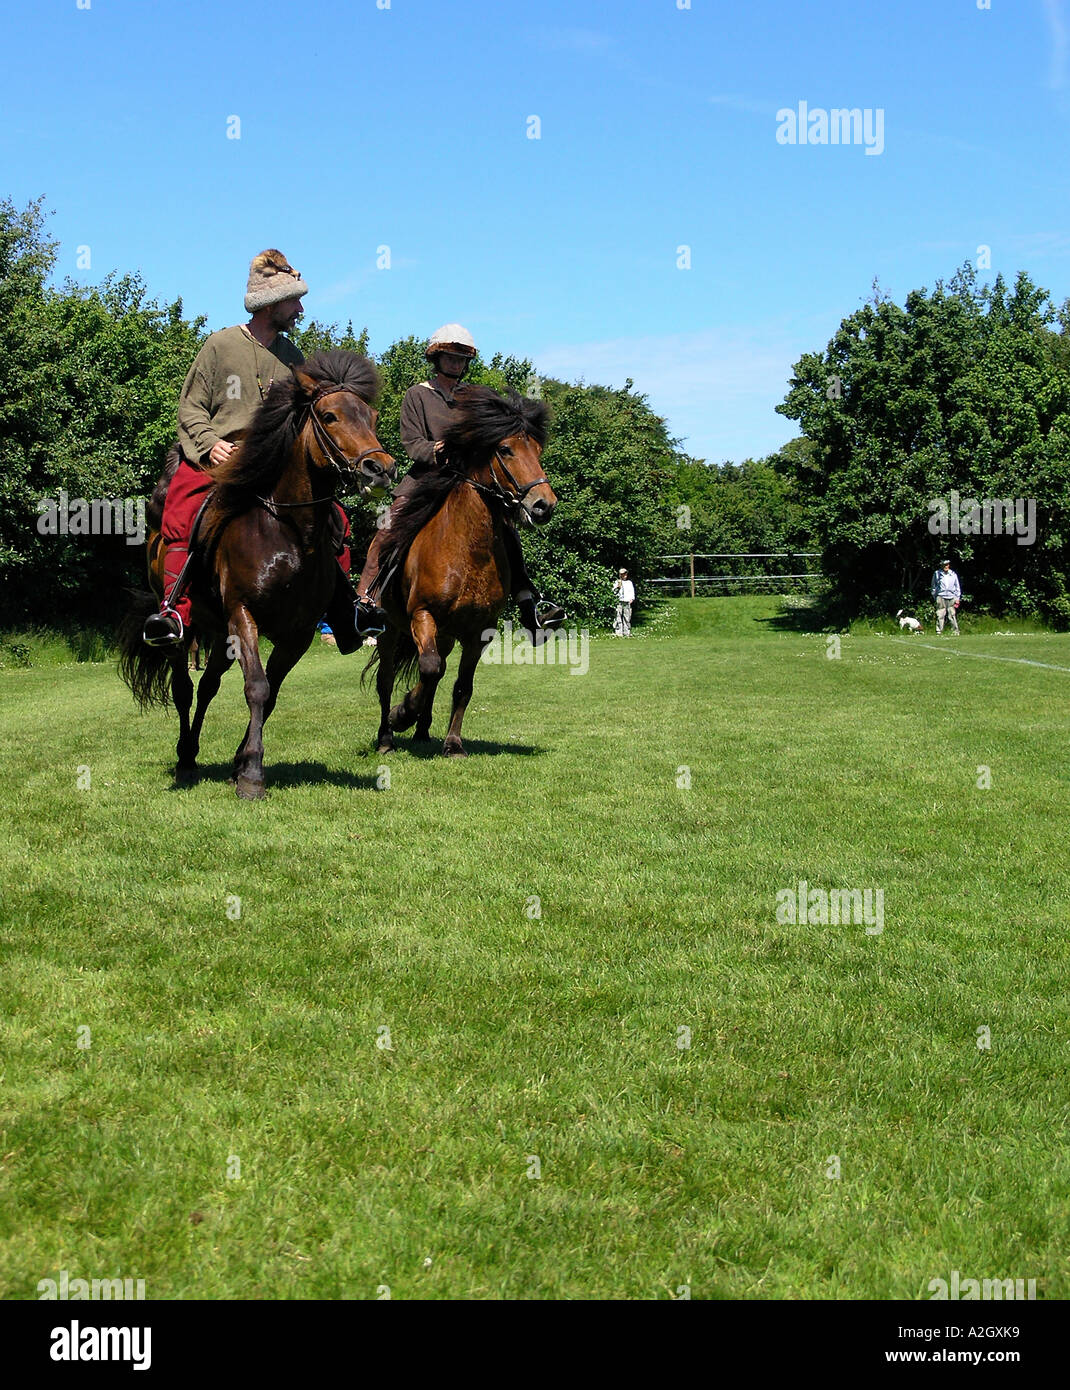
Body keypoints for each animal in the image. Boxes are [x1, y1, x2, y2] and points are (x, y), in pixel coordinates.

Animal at [118, 350, 395, 798]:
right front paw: (250, 775)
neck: (287, 532)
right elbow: (258, 688)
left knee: (208, 687)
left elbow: (272, 693)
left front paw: (241, 762)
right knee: (184, 689)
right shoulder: (244, 616)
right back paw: (184, 759)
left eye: (370, 416)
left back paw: (195, 752)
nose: (381, 468)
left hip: (219, 633)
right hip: (187, 631)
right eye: (331, 416)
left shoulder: (297, 632)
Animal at [366, 385, 556, 757]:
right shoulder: (422, 615)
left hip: (445, 635)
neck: (469, 551)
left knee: (436, 672)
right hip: (390, 629)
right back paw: (387, 737)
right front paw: (401, 714)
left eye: (538, 450)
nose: (544, 505)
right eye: (506, 449)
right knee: (388, 680)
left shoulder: (479, 631)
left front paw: (452, 743)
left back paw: (422, 730)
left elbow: (460, 686)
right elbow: (427, 669)